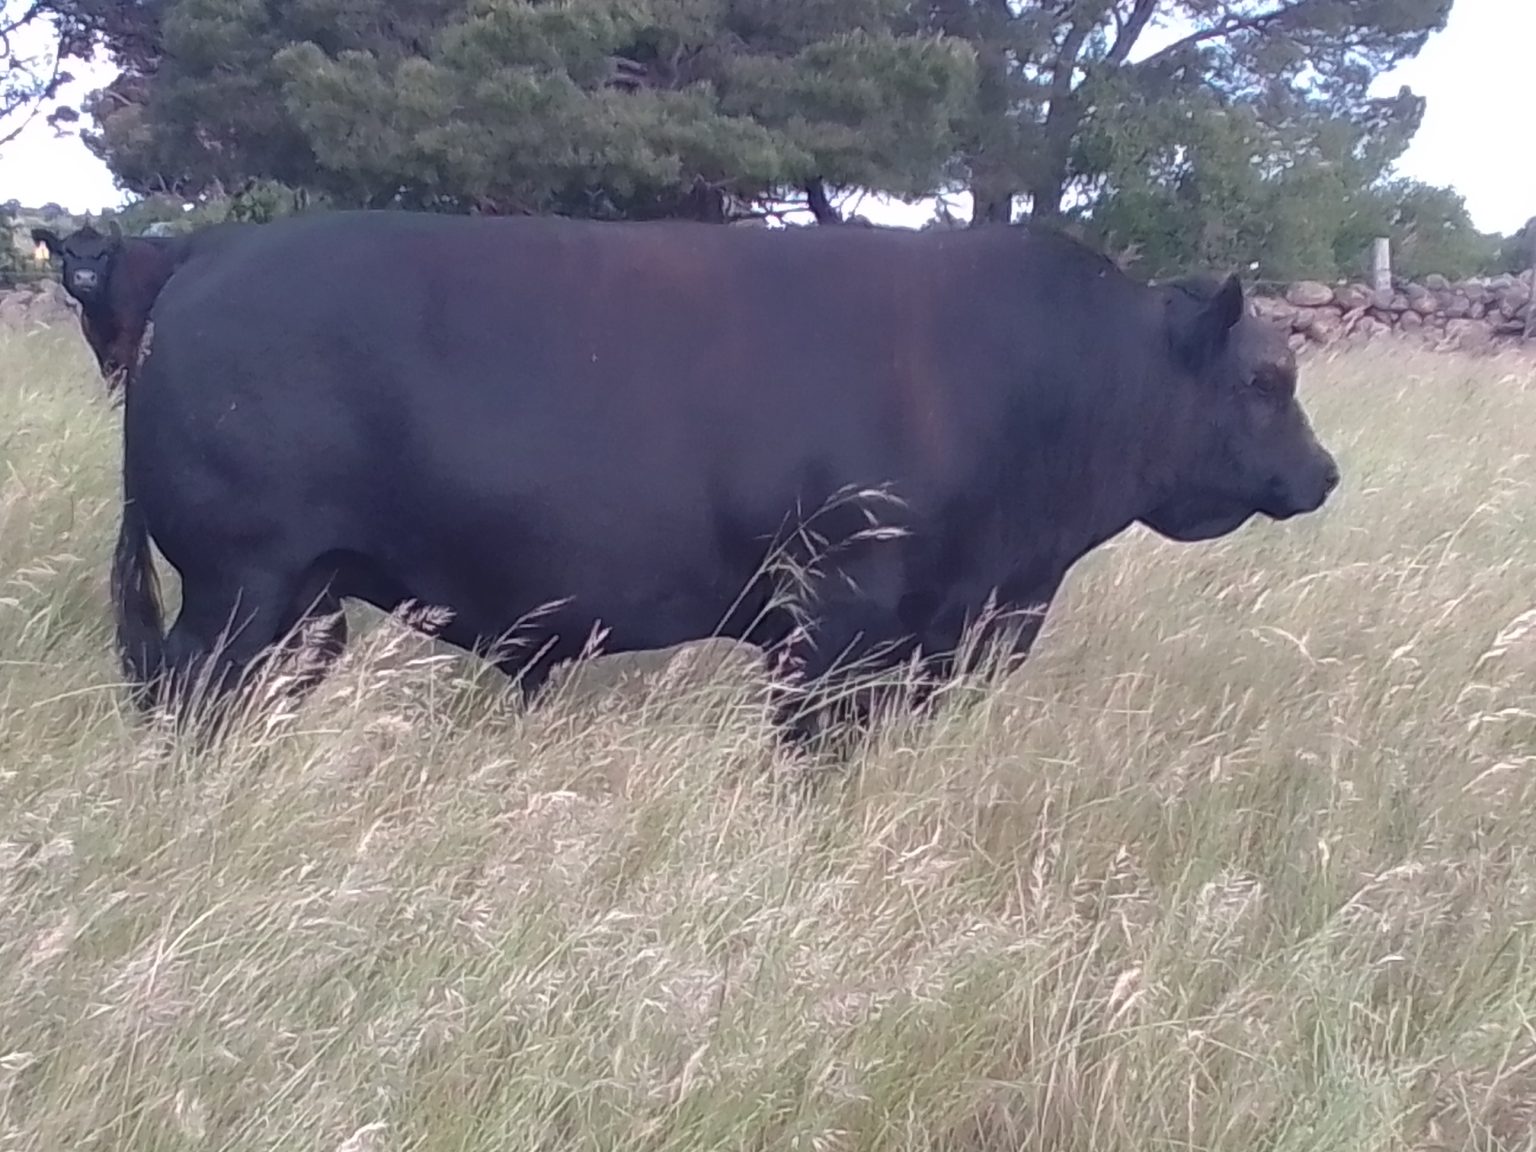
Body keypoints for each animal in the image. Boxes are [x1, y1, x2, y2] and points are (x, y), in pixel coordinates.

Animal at [110, 209, 1340, 743]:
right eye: (1266, 378)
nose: (1325, 473)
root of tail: (204, 252)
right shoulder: (837, 620)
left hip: (304, 598)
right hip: (240, 589)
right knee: (189, 696)